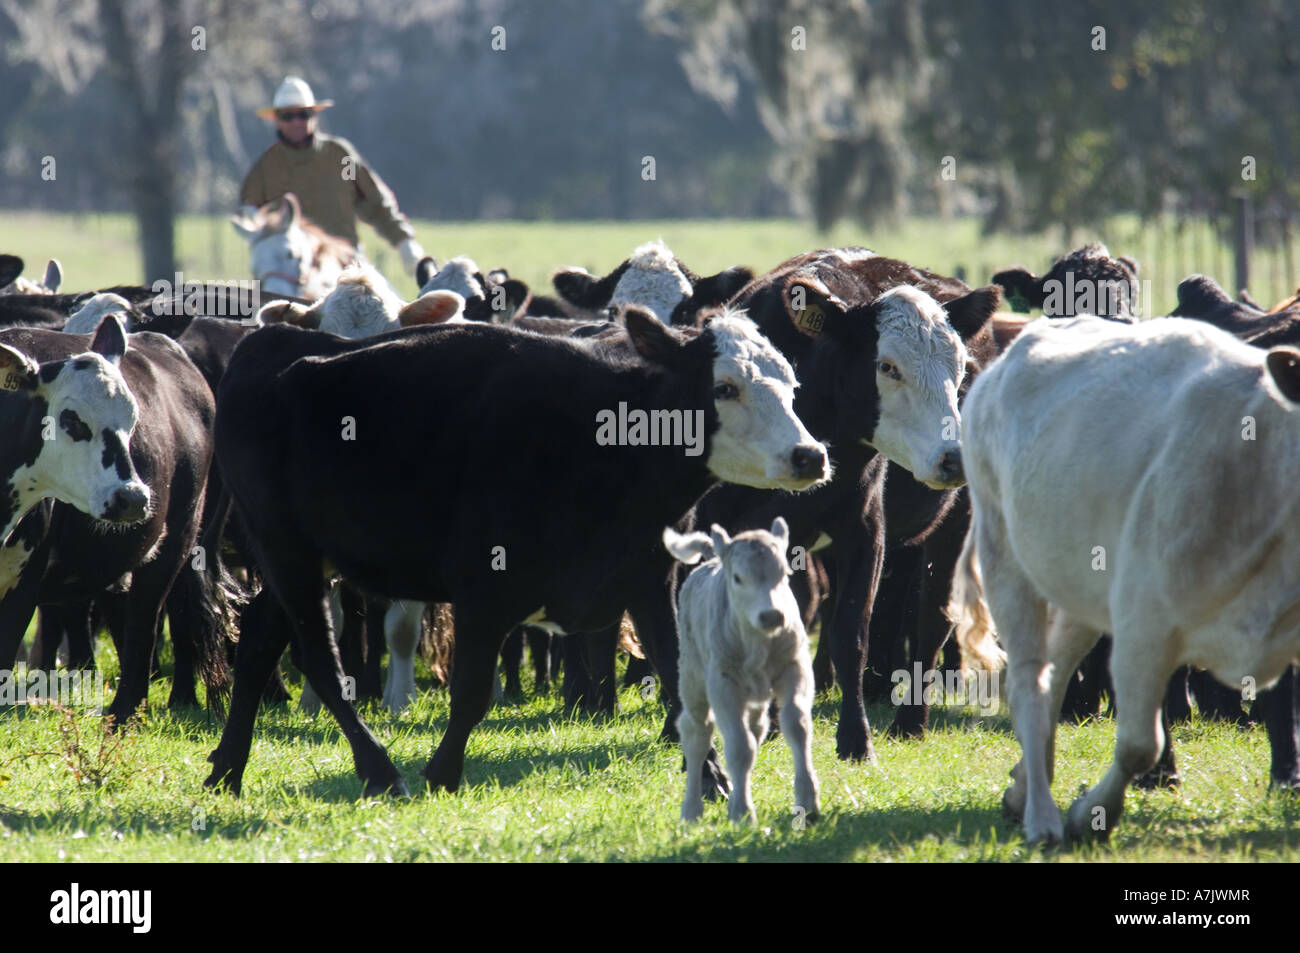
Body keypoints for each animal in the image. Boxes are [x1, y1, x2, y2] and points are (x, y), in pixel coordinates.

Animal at [204, 306, 828, 796]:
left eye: (793, 387)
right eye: (725, 387)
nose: (810, 455)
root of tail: (270, 341)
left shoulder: (651, 578)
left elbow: (677, 676)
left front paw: (713, 777)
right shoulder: (484, 590)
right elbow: (472, 691)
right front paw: (443, 773)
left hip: (301, 559)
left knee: (257, 641)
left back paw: (227, 769)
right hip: (286, 551)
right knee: (319, 660)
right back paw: (379, 770)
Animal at [950, 316, 1300, 844]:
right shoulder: (1144, 620)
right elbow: (1140, 744)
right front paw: (1090, 813)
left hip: (1078, 577)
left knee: (1055, 669)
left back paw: (1023, 787)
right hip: (1003, 548)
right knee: (1027, 678)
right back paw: (1042, 817)